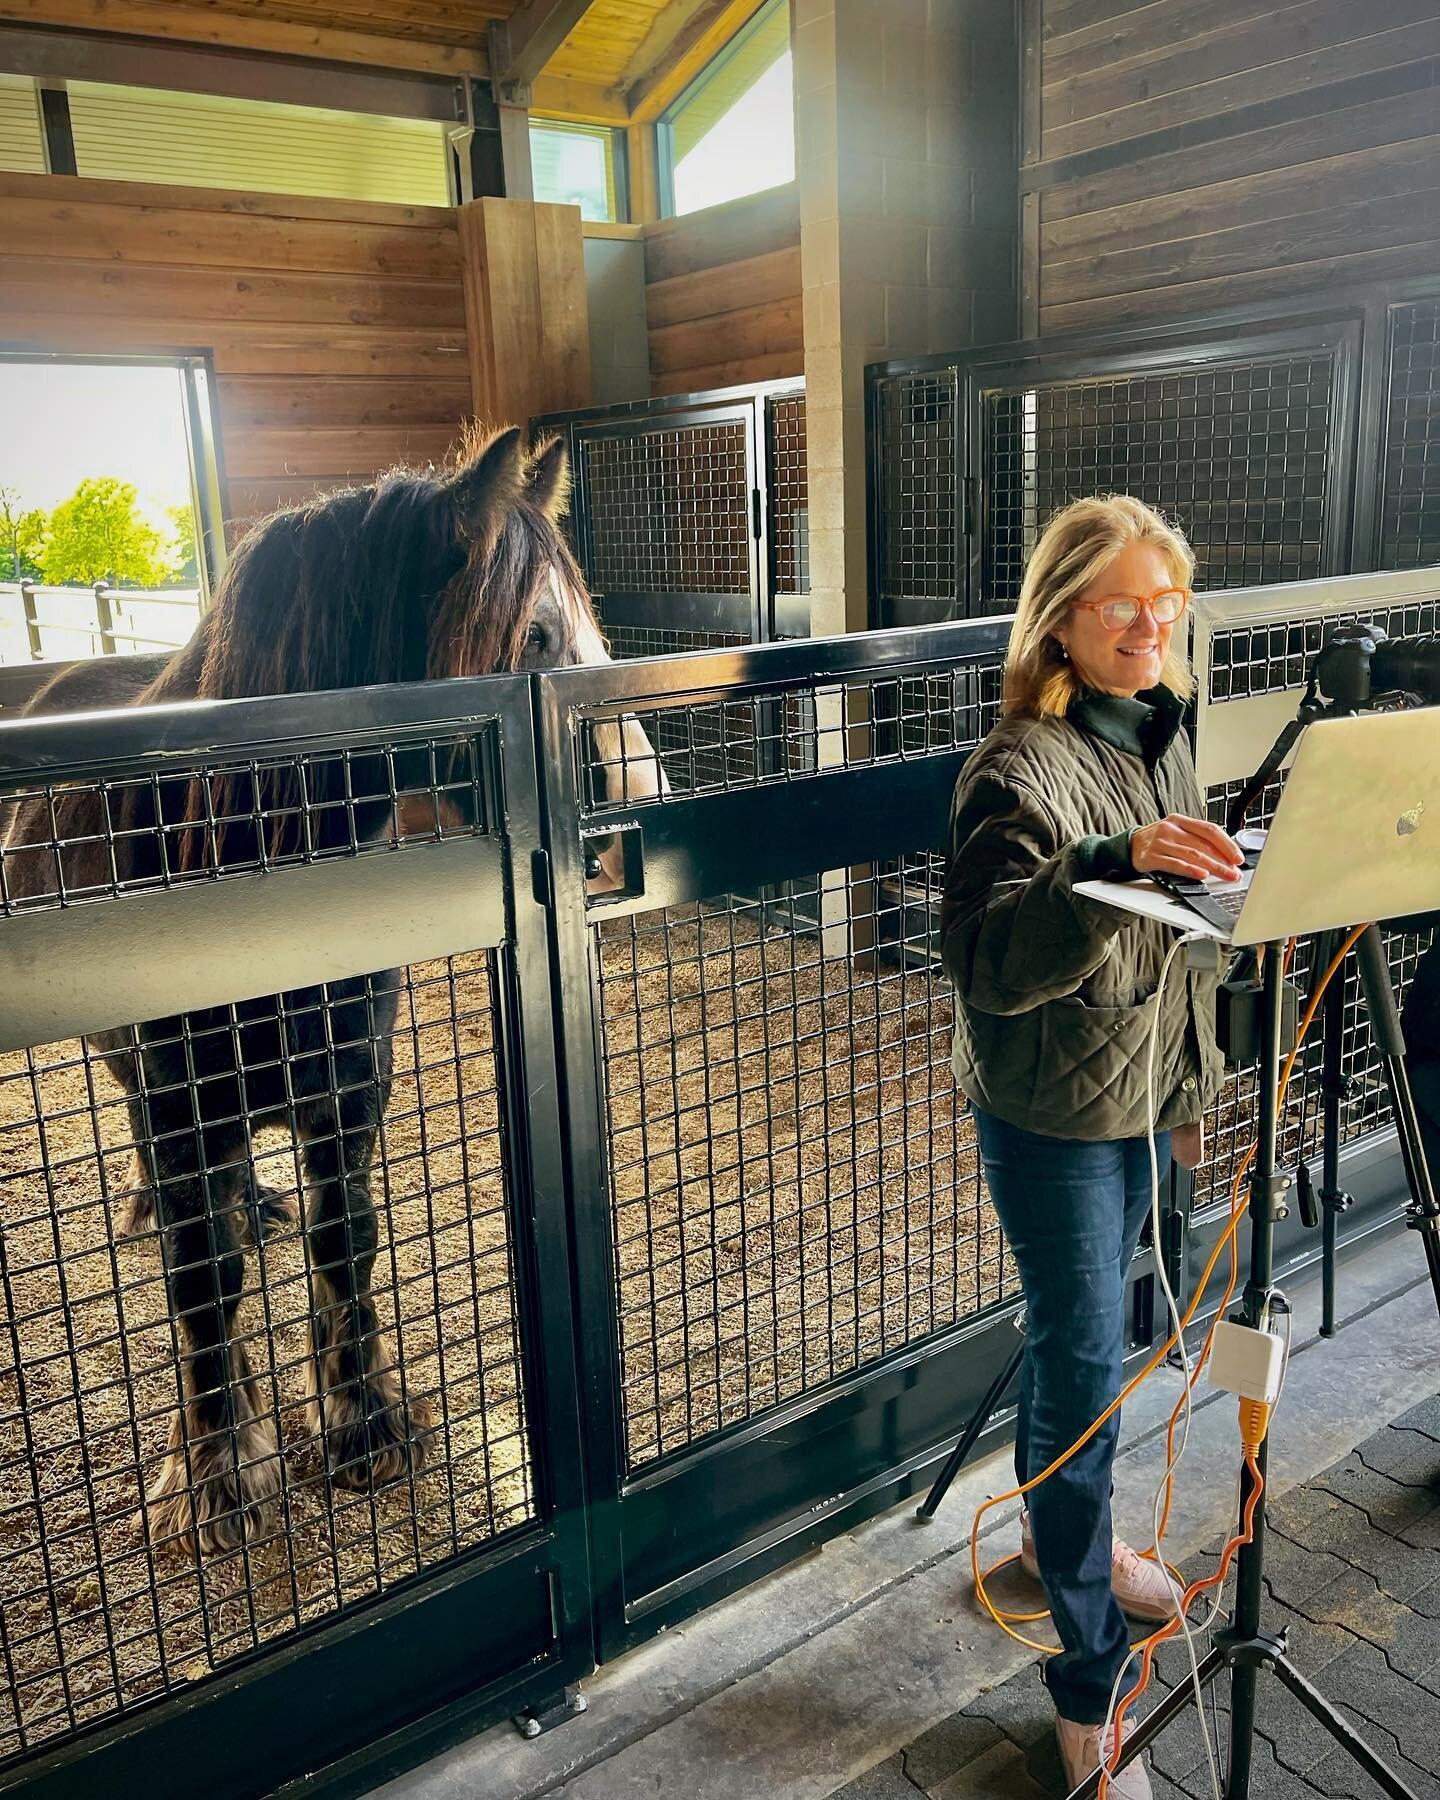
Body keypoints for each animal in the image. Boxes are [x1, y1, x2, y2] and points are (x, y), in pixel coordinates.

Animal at [0, 424, 662, 1562]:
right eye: (535, 632)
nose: (643, 806)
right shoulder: (182, 1115)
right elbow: (202, 1282)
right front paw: (218, 1474)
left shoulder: (349, 1096)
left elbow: (342, 1242)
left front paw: (362, 1426)